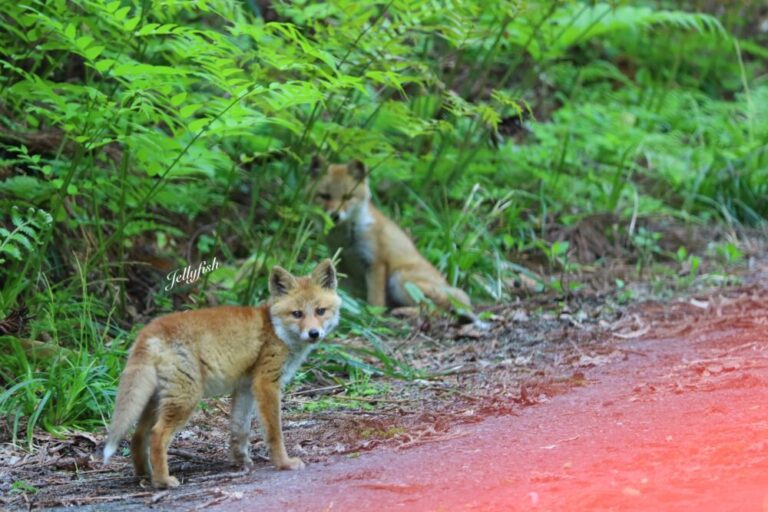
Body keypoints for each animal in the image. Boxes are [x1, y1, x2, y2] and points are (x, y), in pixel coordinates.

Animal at [102, 259, 341, 489]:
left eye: (320, 311)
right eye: (297, 314)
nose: (314, 333)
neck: (275, 329)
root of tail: (149, 329)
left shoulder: (245, 387)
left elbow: (239, 429)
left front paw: (240, 460)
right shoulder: (266, 383)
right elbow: (274, 433)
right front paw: (283, 463)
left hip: (156, 399)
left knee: (138, 436)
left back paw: (144, 476)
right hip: (185, 399)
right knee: (156, 435)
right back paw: (162, 482)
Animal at [311, 158, 484, 325]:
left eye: (347, 197)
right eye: (325, 196)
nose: (334, 215)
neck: (346, 238)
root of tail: (449, 287)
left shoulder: (376, 262)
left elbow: (375, 300)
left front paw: (372, 316)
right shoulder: (342, 264)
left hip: (399, 279)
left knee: (433, 309)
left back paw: (405, 313)